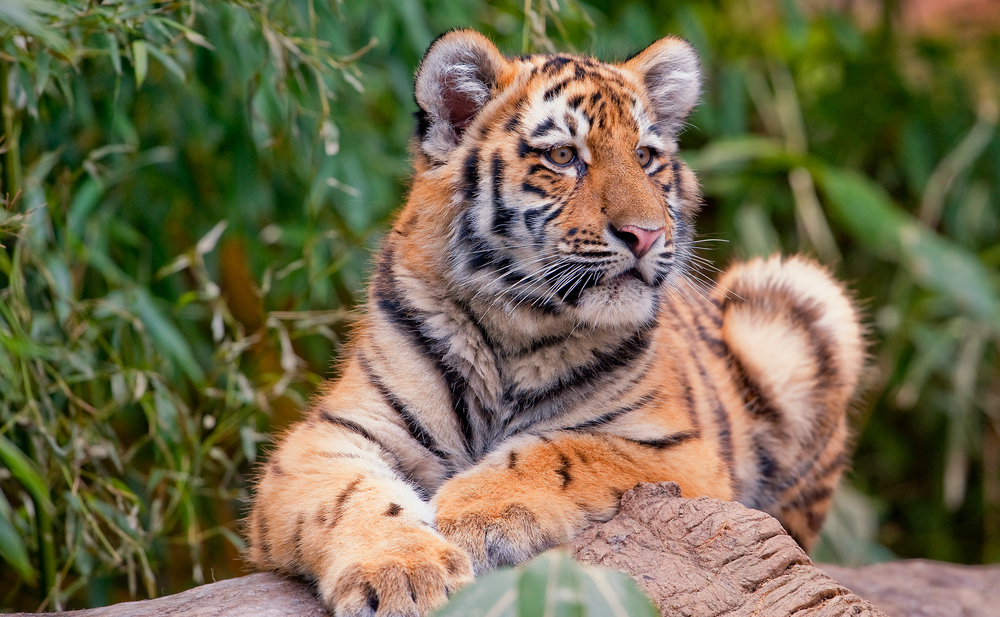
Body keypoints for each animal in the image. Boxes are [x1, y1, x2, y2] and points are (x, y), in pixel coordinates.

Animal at [246, 30, 864, 617]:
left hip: (801, 293)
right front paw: (400, 573)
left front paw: (473, 513)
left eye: (646, 156)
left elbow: (565, 451)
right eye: (564, 157)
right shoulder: (333, 434)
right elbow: (346, 496)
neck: (512, 328)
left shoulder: (679, 451)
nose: (646, 235)